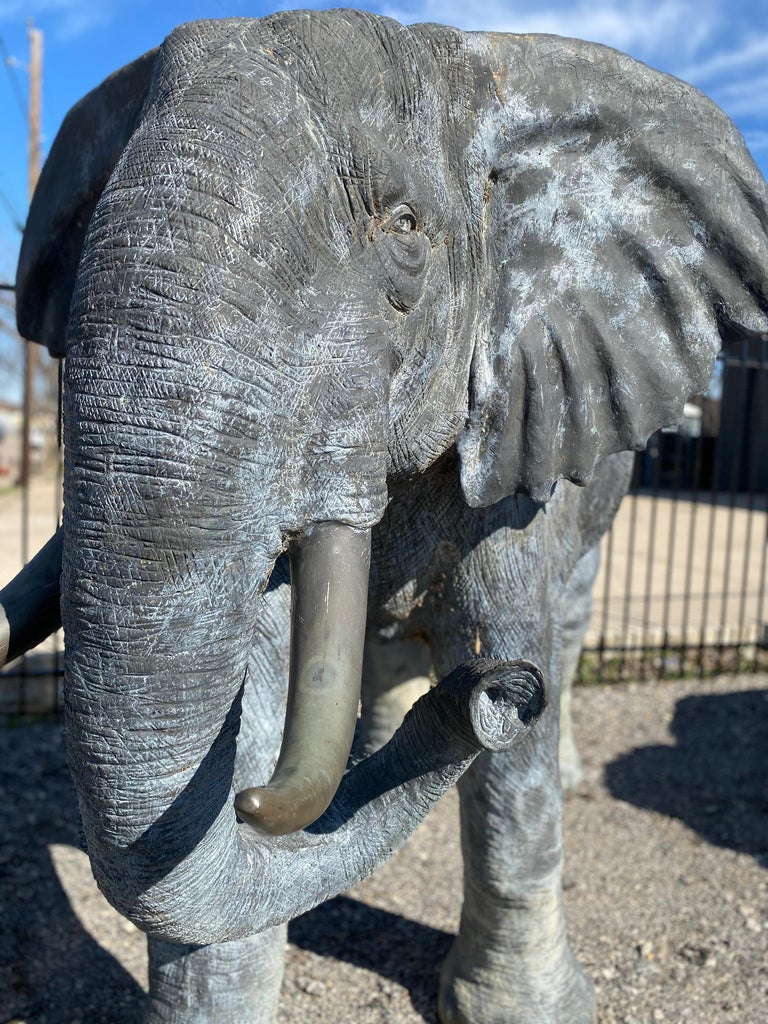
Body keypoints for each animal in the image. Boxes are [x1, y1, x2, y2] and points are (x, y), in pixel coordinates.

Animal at [2, 9, 768, 1023]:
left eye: (405, 227)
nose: (499, 695)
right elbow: (251, 707)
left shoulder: (521, 446)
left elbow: (507, 694)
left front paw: (522, 1009)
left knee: (565, 620)